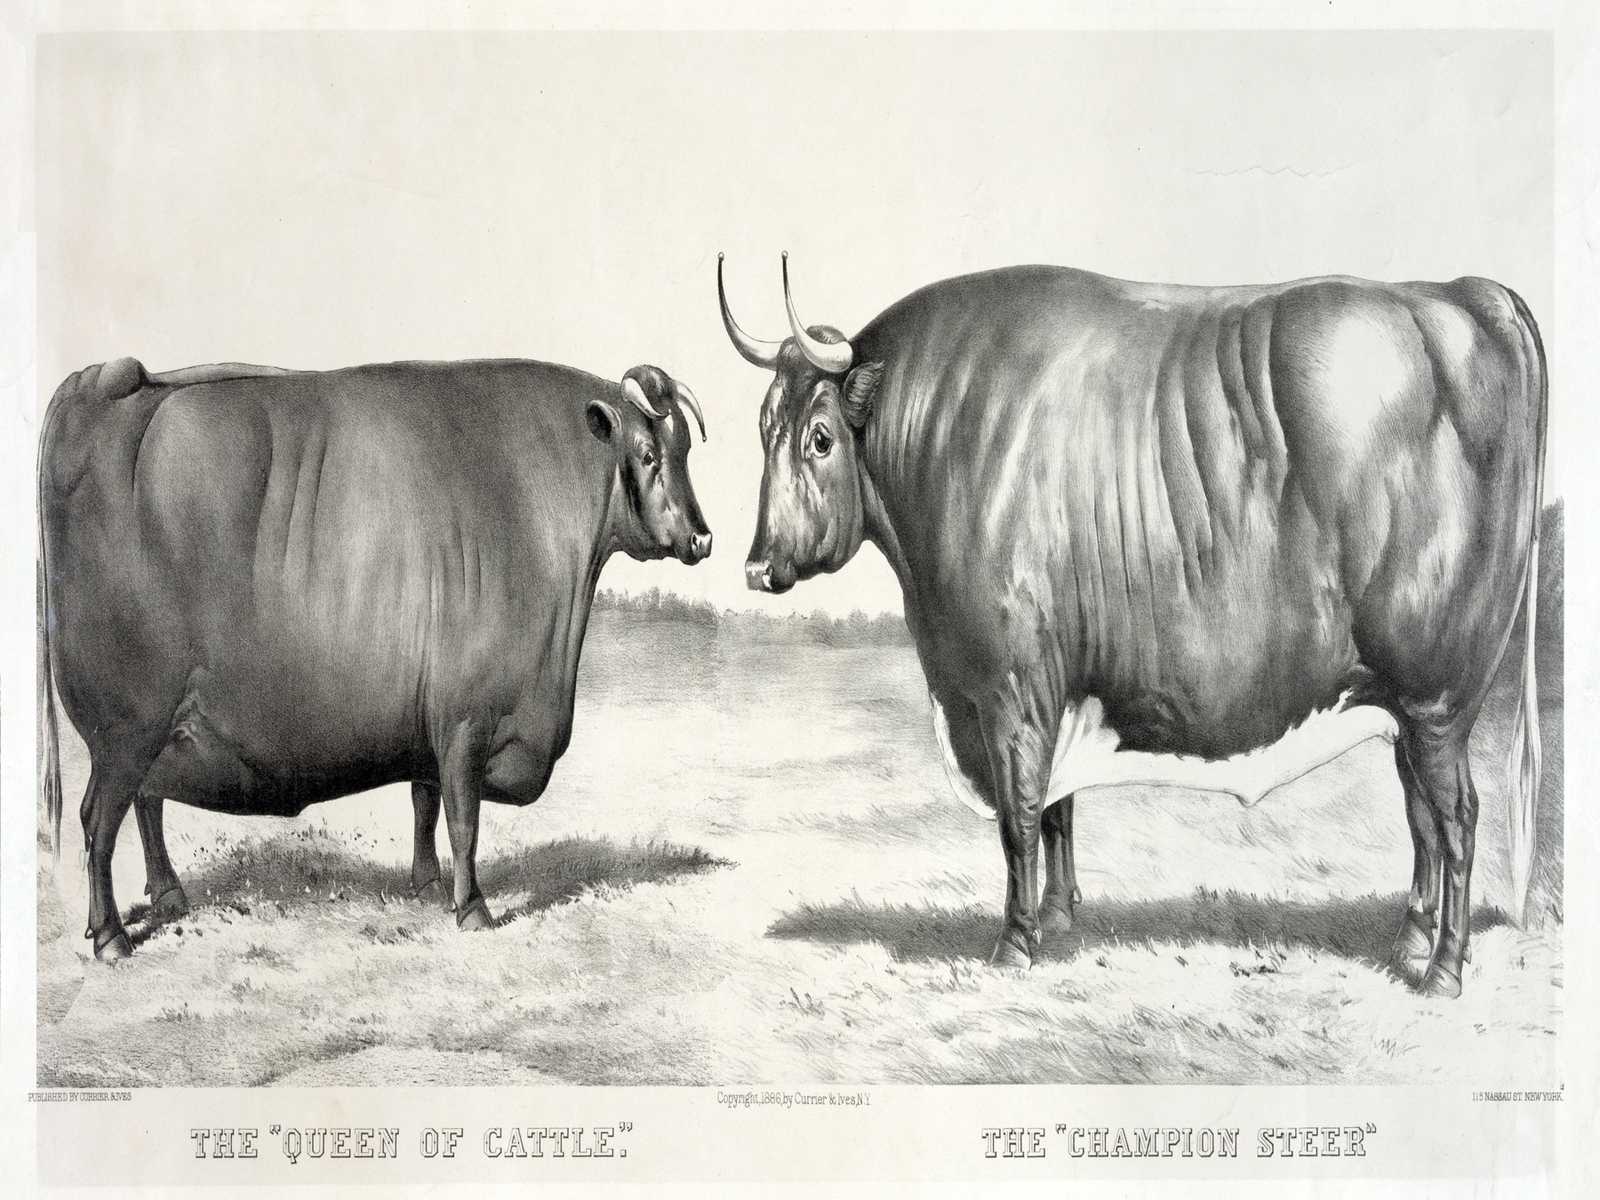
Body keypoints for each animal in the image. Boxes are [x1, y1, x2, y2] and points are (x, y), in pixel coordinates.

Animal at [39, 355, 712, 960]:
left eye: (682, 452)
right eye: (646, 455)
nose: (702, 537)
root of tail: (115, 378)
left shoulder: (427, 724)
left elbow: (425, 801)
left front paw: (428, 884)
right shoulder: (466, 720)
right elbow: (463, 819)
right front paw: (473, 909)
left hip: (153, 729)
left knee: (144, 803)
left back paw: (169, 896)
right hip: (126, 724)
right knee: (99, 819)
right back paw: (112, 939)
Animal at [721, 252, 1545, 999]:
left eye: (820, 437)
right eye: (762, 428)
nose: (757, 567)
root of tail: (1460, 294)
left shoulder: (1011, 685)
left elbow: (1020, 815)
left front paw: (1014, 944)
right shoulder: (1052, 682)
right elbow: (1056, 808)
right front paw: (1057, 919)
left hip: (1437, 697)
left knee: (1458, 818)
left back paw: (1443, 972)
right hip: (1403, 705)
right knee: (1423, 818)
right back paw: (1409, 943)